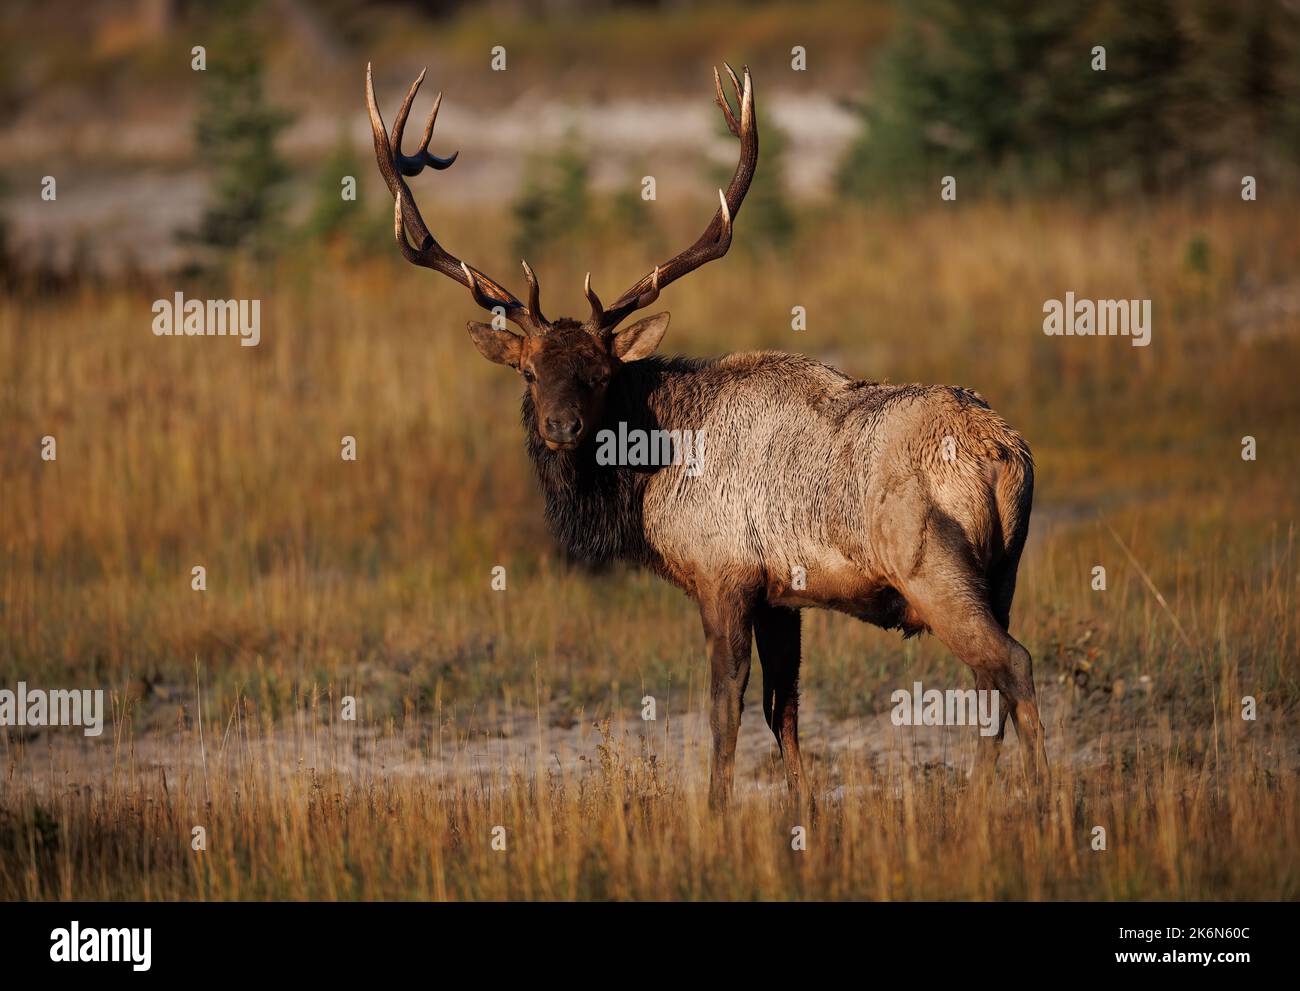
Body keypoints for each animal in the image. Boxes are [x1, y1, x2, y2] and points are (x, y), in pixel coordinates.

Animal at [365, 61, 1048, 809]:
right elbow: (785, 709)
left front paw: (715, 812)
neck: (647, 484)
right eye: (527, 371)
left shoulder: (724, 575)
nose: (561, 426)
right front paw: (804, 810)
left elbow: (726, 709)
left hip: (932, 568)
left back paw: (1043, 800)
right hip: (1003, 572)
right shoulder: (782, 596)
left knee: (1012, 664)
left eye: (601, 371)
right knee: (988, 684)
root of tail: (1005, 454)